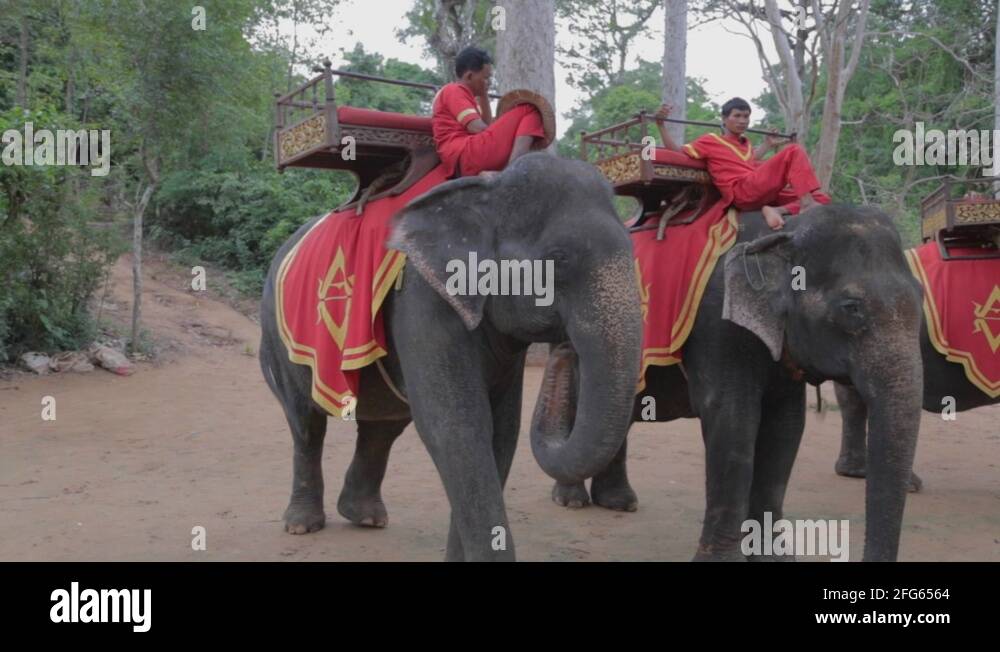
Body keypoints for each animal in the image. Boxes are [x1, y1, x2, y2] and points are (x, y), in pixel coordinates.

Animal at [258, 153, 643, 561]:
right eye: (559, 258)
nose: (565, 350)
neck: (486, 187)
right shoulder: (422, 298)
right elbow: (457, 427)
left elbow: (500, 432)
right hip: (279, 340)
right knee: (306, 423)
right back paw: (302, 525)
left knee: (384, 425)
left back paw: (364, 516)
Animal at [539, 204, 925, 561]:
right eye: (851, 307)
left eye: (921, 300)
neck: (784, 231)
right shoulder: (718, 326)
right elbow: (732, 419)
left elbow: (785, 427)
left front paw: (772, 558)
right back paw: (571, 500)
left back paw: (618, 503)